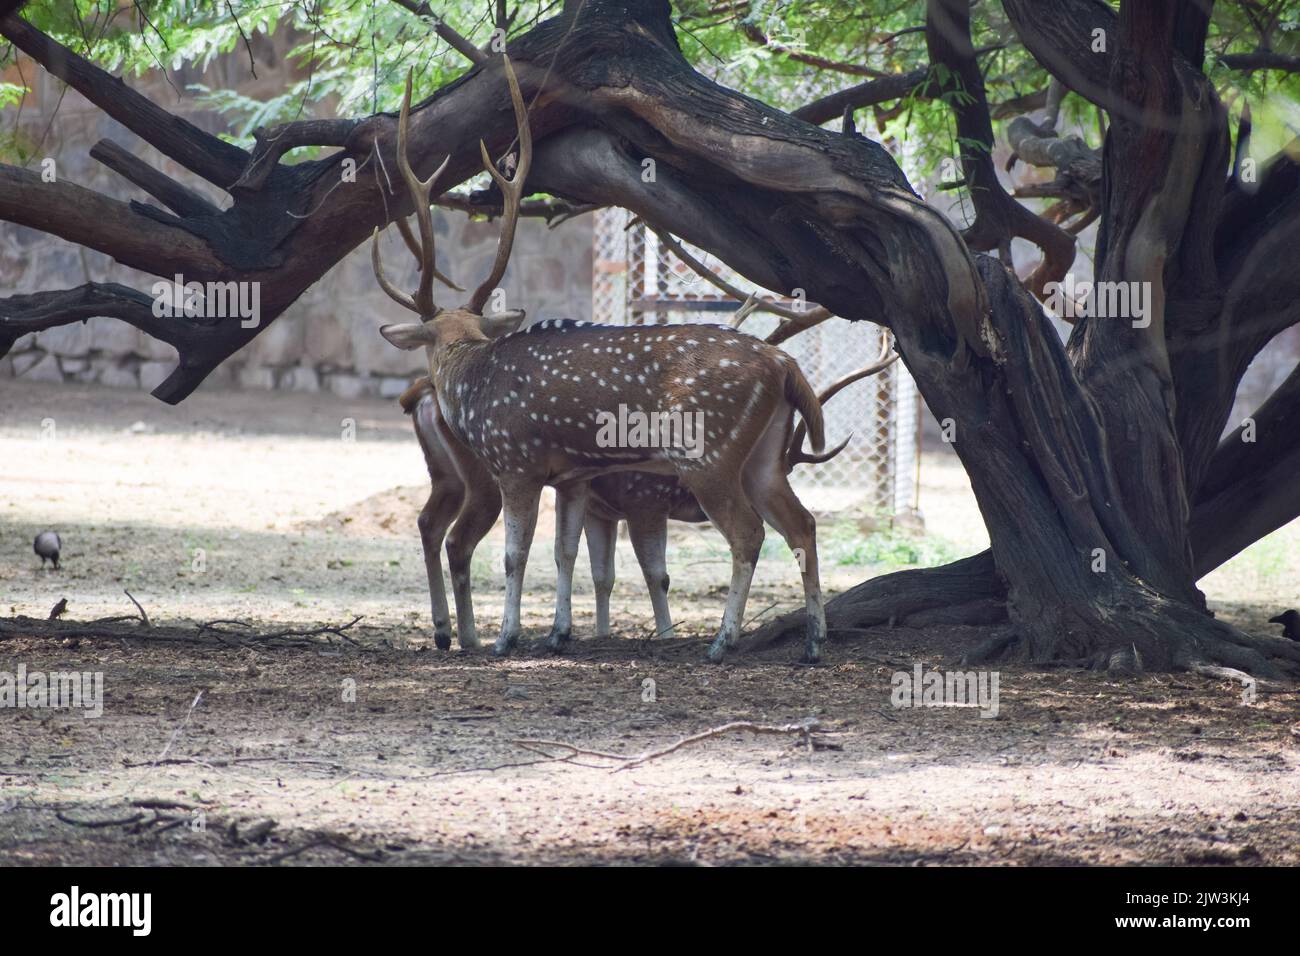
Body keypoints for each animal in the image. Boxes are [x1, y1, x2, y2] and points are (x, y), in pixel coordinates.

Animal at [374, 57, 834, 663]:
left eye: (427, 341)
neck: (472, 380)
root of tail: (785, 367)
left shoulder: (517, 462)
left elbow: (516, 555)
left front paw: (507, 637)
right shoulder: (573, 475)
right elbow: (565, 553)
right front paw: (558, 633)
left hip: (707, 450)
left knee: (748, 532)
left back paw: (721, 642)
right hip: (764, 455)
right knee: (803, 524)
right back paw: (813, 642)